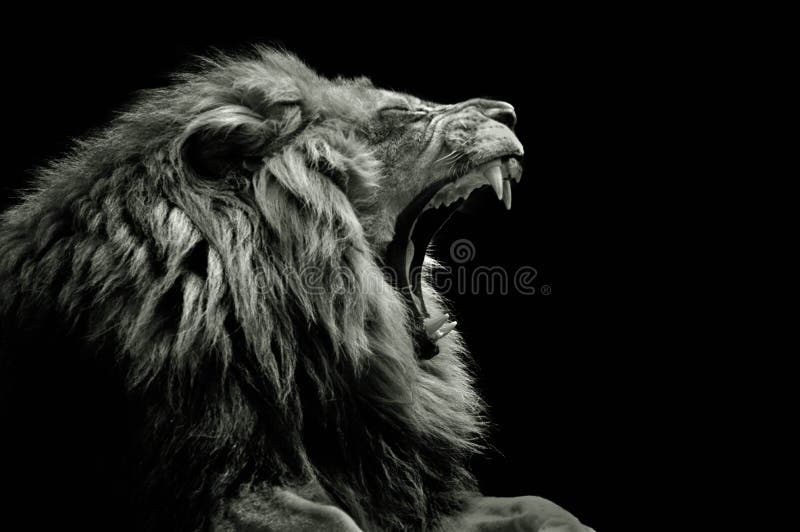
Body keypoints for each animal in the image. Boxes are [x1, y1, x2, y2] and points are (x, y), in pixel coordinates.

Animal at [0, 48, 592, 531]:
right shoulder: (206, 487)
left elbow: (537, 504)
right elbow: (332, 520)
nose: (508, 113)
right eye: (401, 114)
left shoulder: (394, 485)